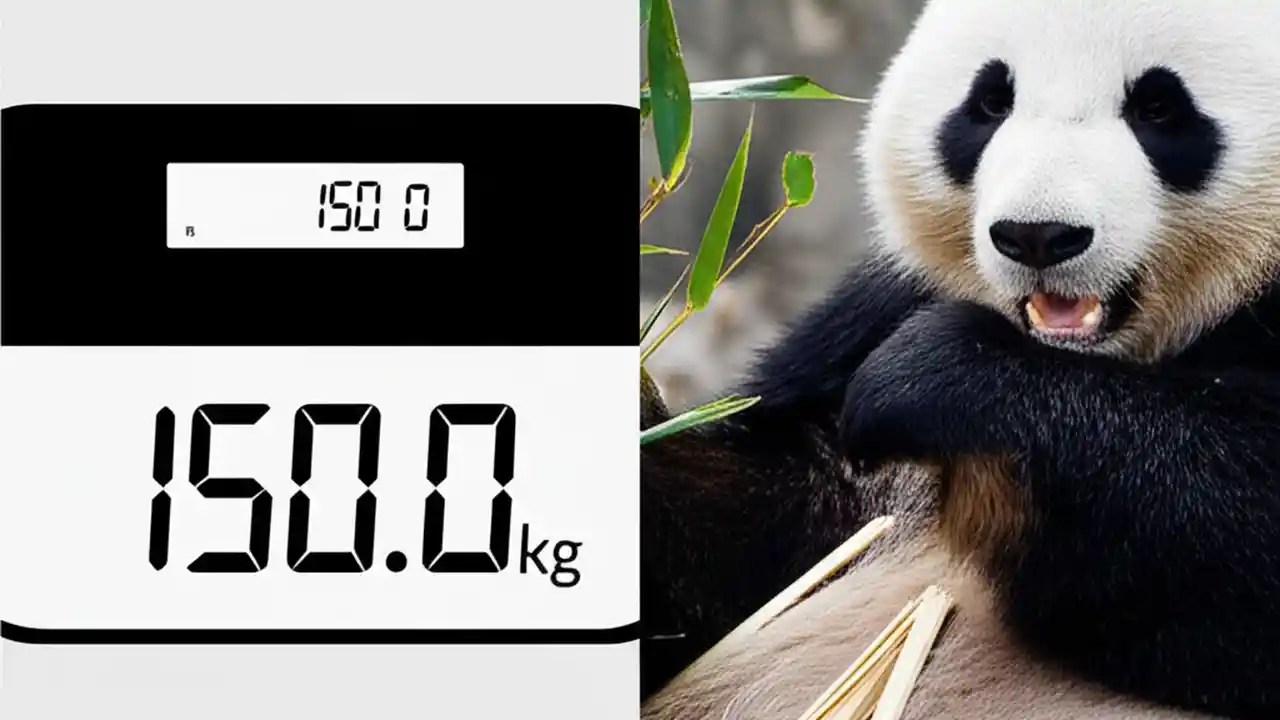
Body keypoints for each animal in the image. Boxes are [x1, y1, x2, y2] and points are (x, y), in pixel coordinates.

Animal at [639, 1, 1280, 719]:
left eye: (1160, 108)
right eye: (990, 102)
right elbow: (756, 544)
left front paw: (935, 377)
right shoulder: (876, 311)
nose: (1038, 235)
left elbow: (1234, 545)